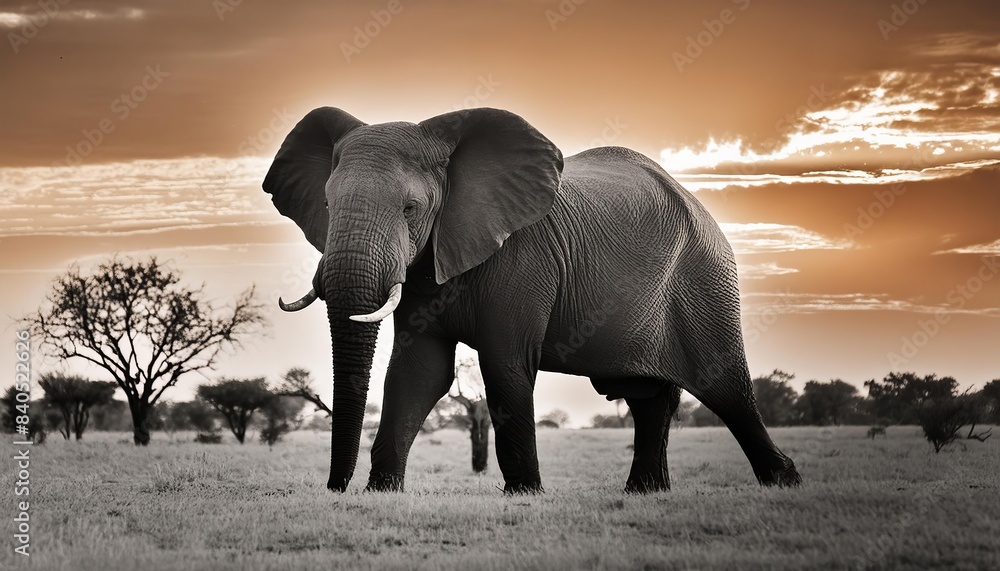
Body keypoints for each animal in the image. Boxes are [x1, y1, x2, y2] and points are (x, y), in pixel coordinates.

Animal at [263, 106, 802, 494]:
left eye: (411, 208)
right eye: (327, 204)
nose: (335, 490)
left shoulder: (524, 259)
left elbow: (504, 365)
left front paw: (524, 494)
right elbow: (419, 372)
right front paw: (382, 492)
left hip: (705, 279)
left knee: (726, 388)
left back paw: (785, 482)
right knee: (650, 397)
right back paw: (645, 493)